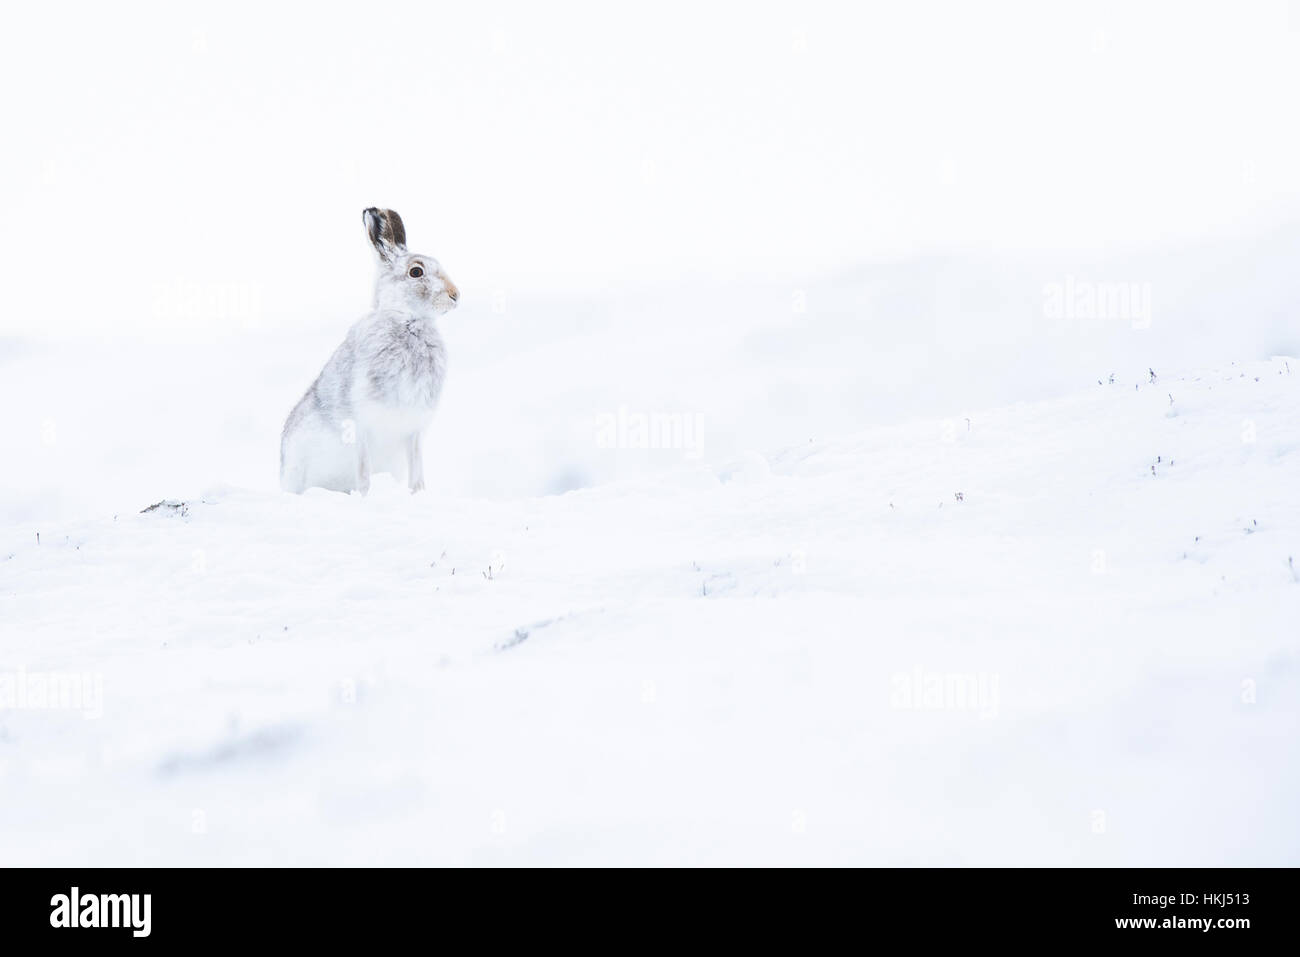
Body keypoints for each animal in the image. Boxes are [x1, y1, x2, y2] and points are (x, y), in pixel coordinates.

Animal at [280, 207, 459, 495]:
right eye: (416, 272)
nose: (456, 295)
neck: (407, 322)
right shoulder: (362, 425)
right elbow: (363, 473)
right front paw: (365, 497)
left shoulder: (414, 430)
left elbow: (417, 473)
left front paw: (418, 495)